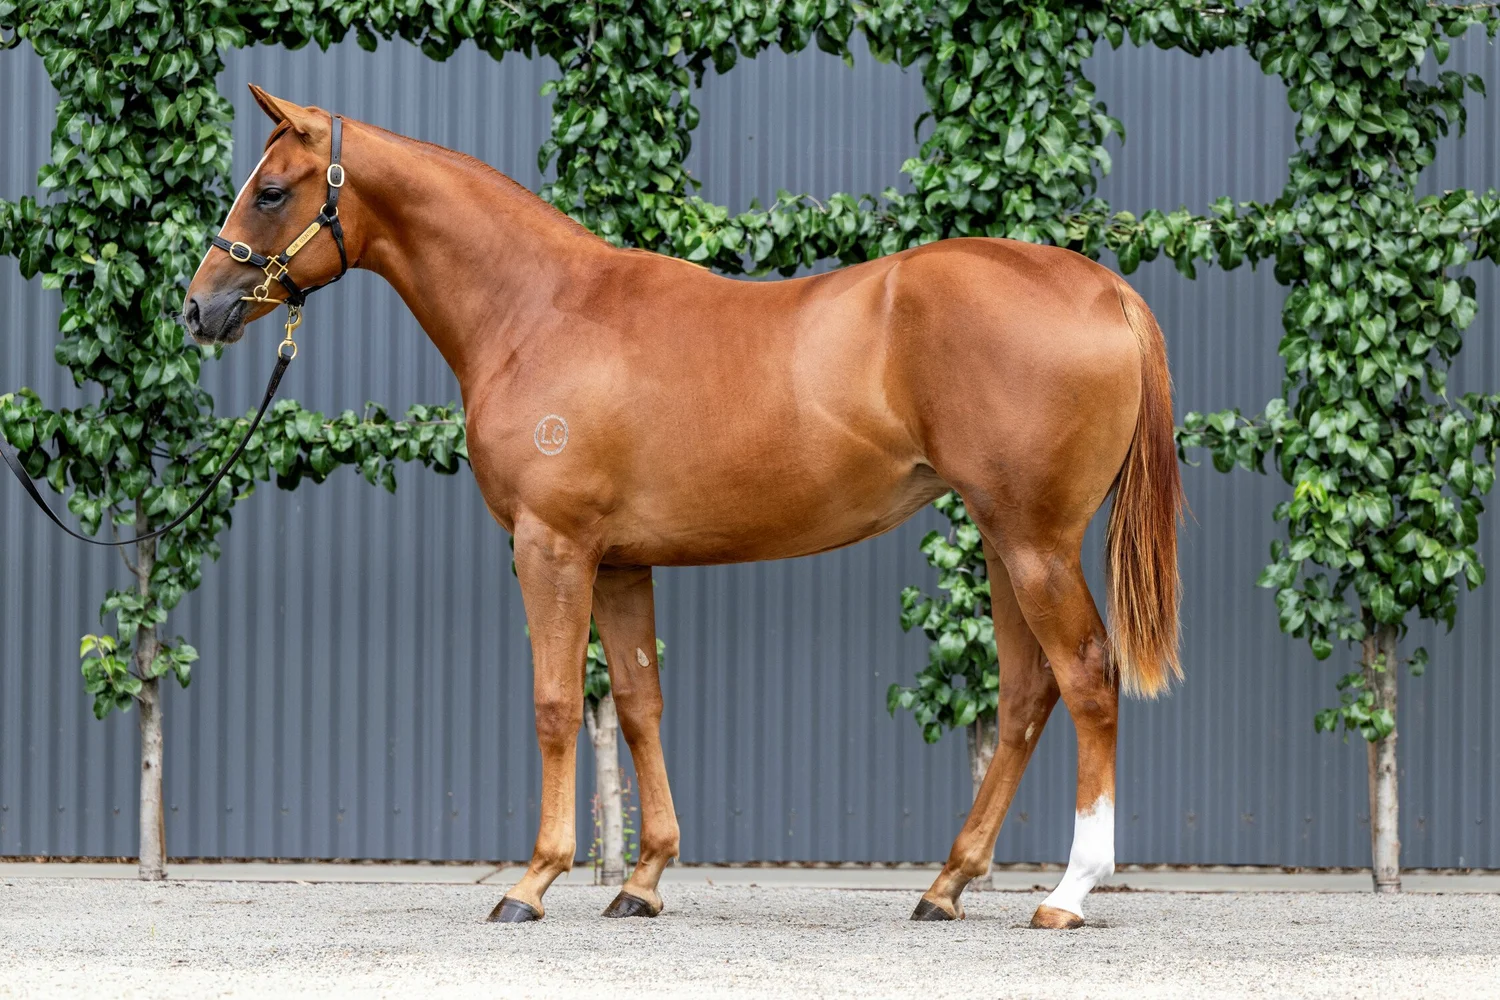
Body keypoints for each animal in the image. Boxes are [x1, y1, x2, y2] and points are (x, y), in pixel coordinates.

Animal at [184, 85, 1183, 929]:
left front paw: (532, 883)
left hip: (1034, 541)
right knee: (1025, 694)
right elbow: (637, 704)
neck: (538, 310)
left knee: (1087, 677)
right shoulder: (622, 561)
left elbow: (555, 702)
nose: (199, 309)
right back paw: (946, 886)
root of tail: (1103, 289)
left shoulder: (551, 548)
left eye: (270, 191)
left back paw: (1068, 893)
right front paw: (643, 880)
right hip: (1005, 541)